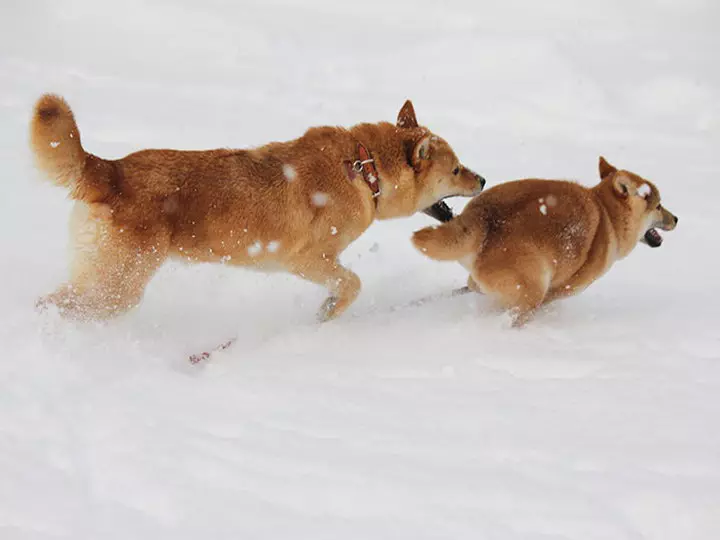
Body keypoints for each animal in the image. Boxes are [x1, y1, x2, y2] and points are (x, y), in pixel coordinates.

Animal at [32, 94, 484, 320]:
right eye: (456, 169)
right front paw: (329, 312)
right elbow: (351, 284)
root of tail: (110, 169)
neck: (364, 166)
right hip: (119, 284)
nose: (482, 180)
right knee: (63, 304)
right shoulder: (306, 260)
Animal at [414, 156, 676, 324]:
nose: (676, 219)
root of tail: (484, 219)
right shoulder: (554, 293)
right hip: (533, 292)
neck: (607, 214)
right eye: (658, 206)